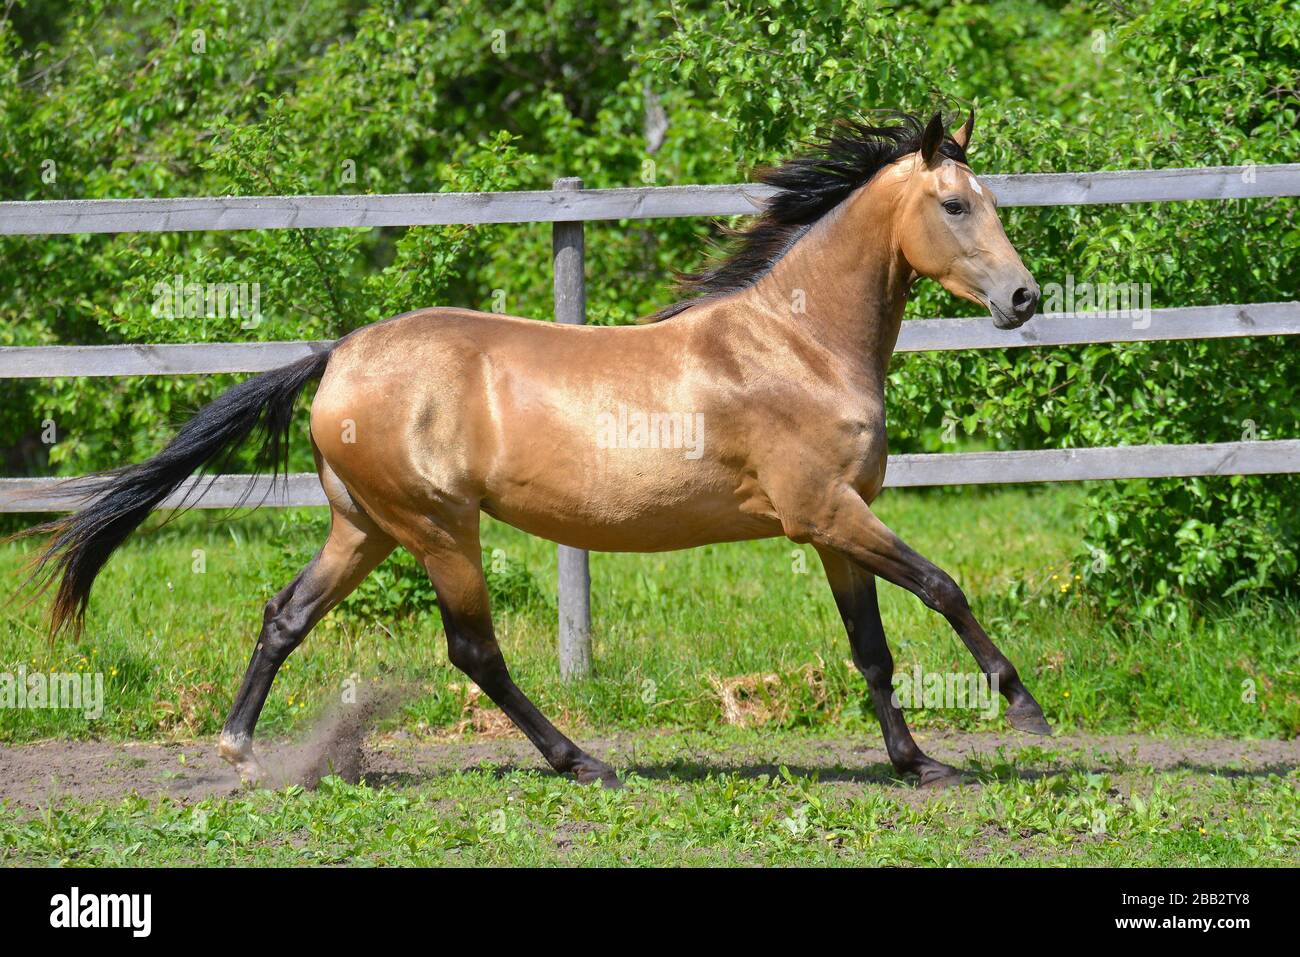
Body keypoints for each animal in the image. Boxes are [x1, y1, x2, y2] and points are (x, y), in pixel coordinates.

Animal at [21, 110, 1048, 789]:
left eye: (987, 200)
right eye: (955, 205)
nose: (1024, 298)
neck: (796, 343)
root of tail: (339, 356)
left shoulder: (836, 526)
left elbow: (871, 646)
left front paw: (919, 761)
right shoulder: (824, 510)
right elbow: (944, 585)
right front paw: (1022, 707)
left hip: (365, 527)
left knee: (287, 615)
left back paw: (240, 751)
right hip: (440, 528)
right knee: (474, 650)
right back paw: (582, 760)